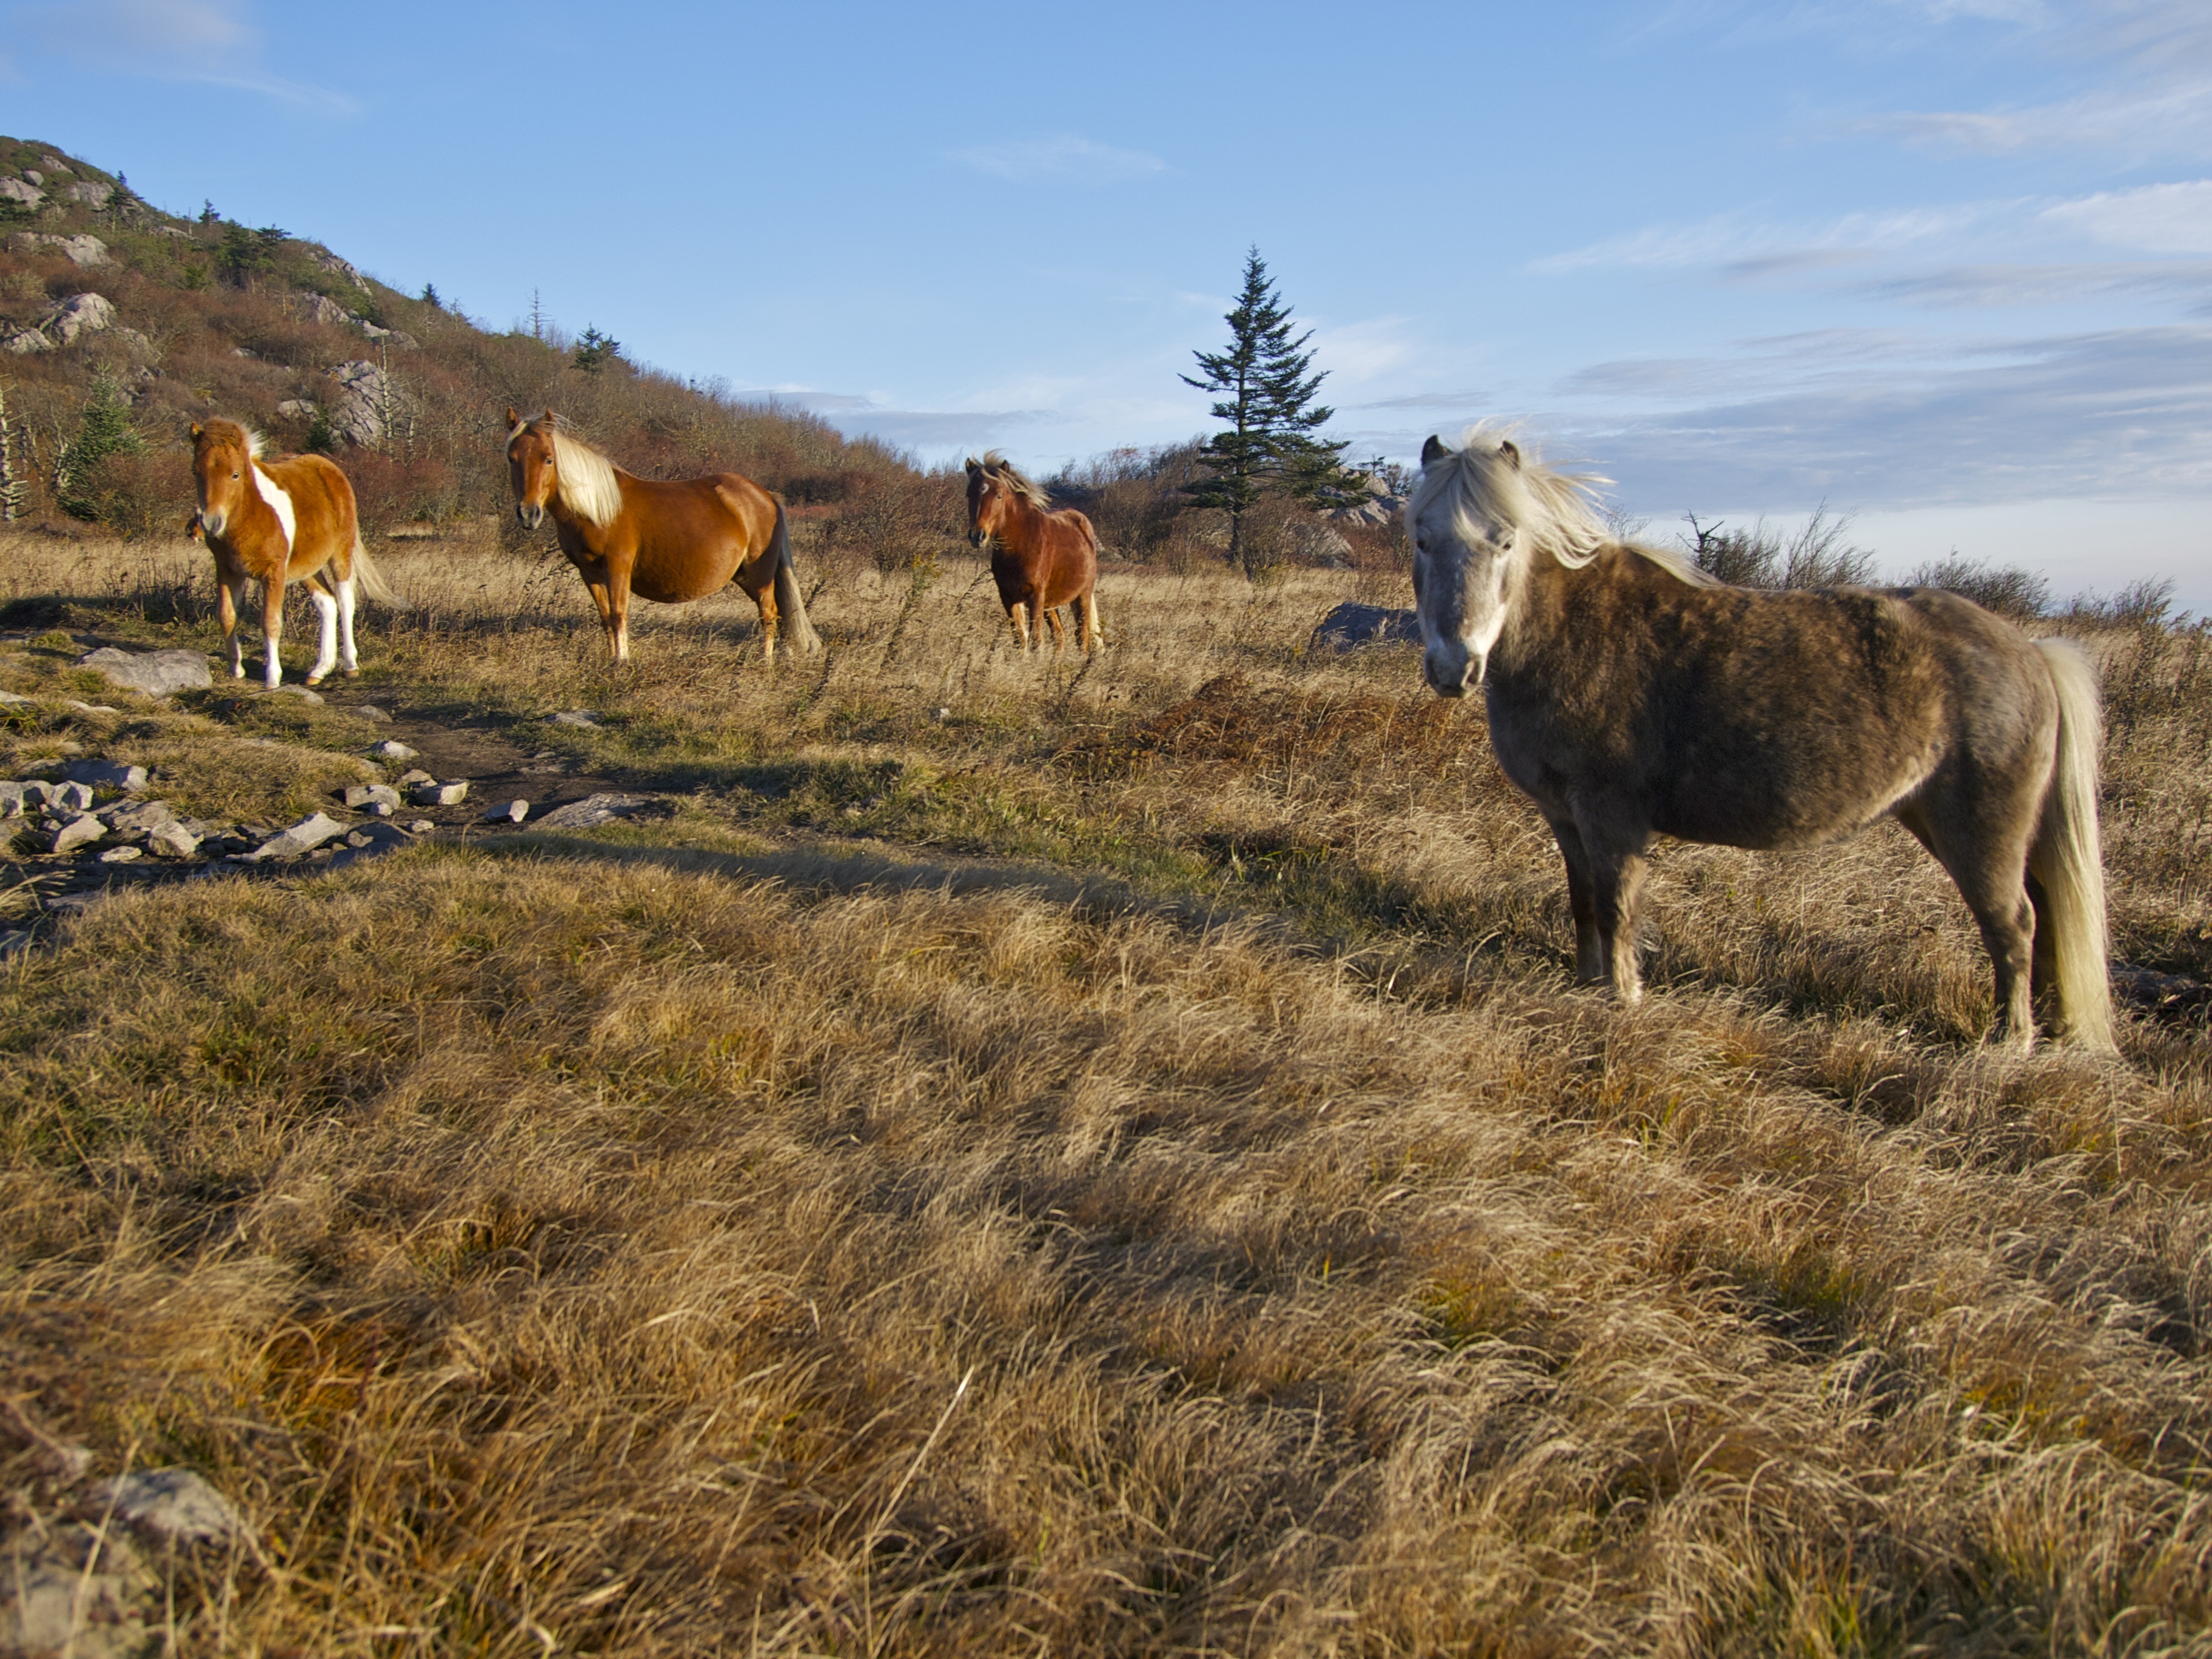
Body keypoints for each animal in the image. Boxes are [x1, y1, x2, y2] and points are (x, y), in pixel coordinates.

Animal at [190, 419, 402, 688]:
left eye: (235, 474)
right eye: (195, 472)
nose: (211, 523)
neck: (252, 514)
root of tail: (329, 468)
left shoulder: (274, 573)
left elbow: (270, 622)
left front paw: (272, 679)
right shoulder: (227, 570)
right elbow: (226, 615)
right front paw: (236, 669)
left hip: (340, 554)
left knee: (345, 601)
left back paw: (350, 666)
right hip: (306, 567)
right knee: (327, 603)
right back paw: (319, 670)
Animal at [504, 409, 820, 663]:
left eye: (549, 459)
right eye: (511, 458)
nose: (528, 514)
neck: (598, 508)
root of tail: (766, 496)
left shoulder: (618, 566)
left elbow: (619, 614)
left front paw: (622, 662)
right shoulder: (588, 571)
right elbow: (606, 617)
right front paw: (611, 660)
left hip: (760, 573)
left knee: (769, 613)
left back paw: (765, 662)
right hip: (744, 575)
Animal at [965, 452, 1102, 653]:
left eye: (999, 495)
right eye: (969, 494)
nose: (977, 536)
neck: (1021, 545)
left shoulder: (1035, 597)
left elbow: (1036, 641)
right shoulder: (1008, 597)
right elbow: (1020, 640)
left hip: (1082, 595)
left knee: (1082, 637)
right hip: (1051, 602)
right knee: (1059, 635)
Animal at [1408, 425, 2114, 1052]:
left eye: (1505, 541)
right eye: (1421, 539)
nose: (1454, 667)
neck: (1573, 634)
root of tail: (2033, 652)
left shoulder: (1611, 817)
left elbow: (1616, 907)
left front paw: (1622, 999)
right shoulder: (1564, 816)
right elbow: (1583, 903)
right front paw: (1586, 988)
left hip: (1982, 832)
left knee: (2013, 925)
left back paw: (2009, 1044)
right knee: (2045, 918)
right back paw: (2050, 1028)